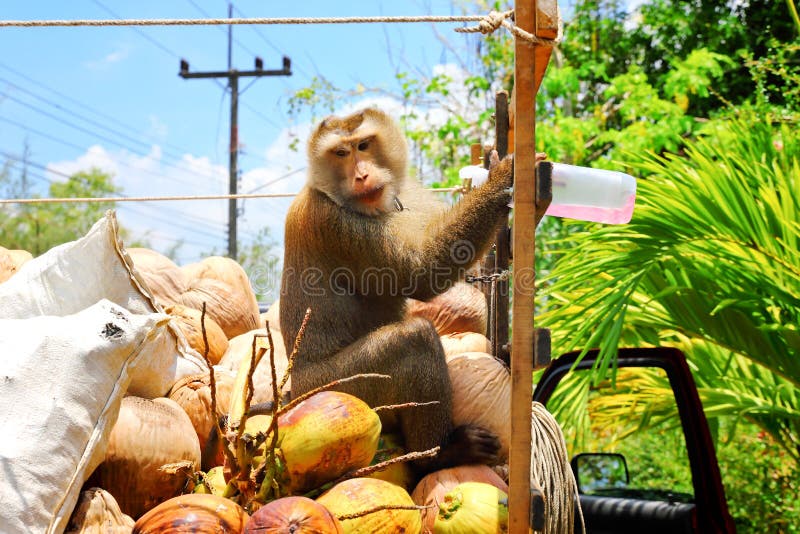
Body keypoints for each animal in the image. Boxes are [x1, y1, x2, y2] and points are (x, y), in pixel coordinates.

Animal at [279, 108, 514, 474]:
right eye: (341, 153)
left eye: (363, 145)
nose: (362, 175)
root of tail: (293, 391)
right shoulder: (335, 224)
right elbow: (421, 274)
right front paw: (501, 178)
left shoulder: (410, 192)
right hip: (338, 386)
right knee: (413, 339)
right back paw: (436, 455)